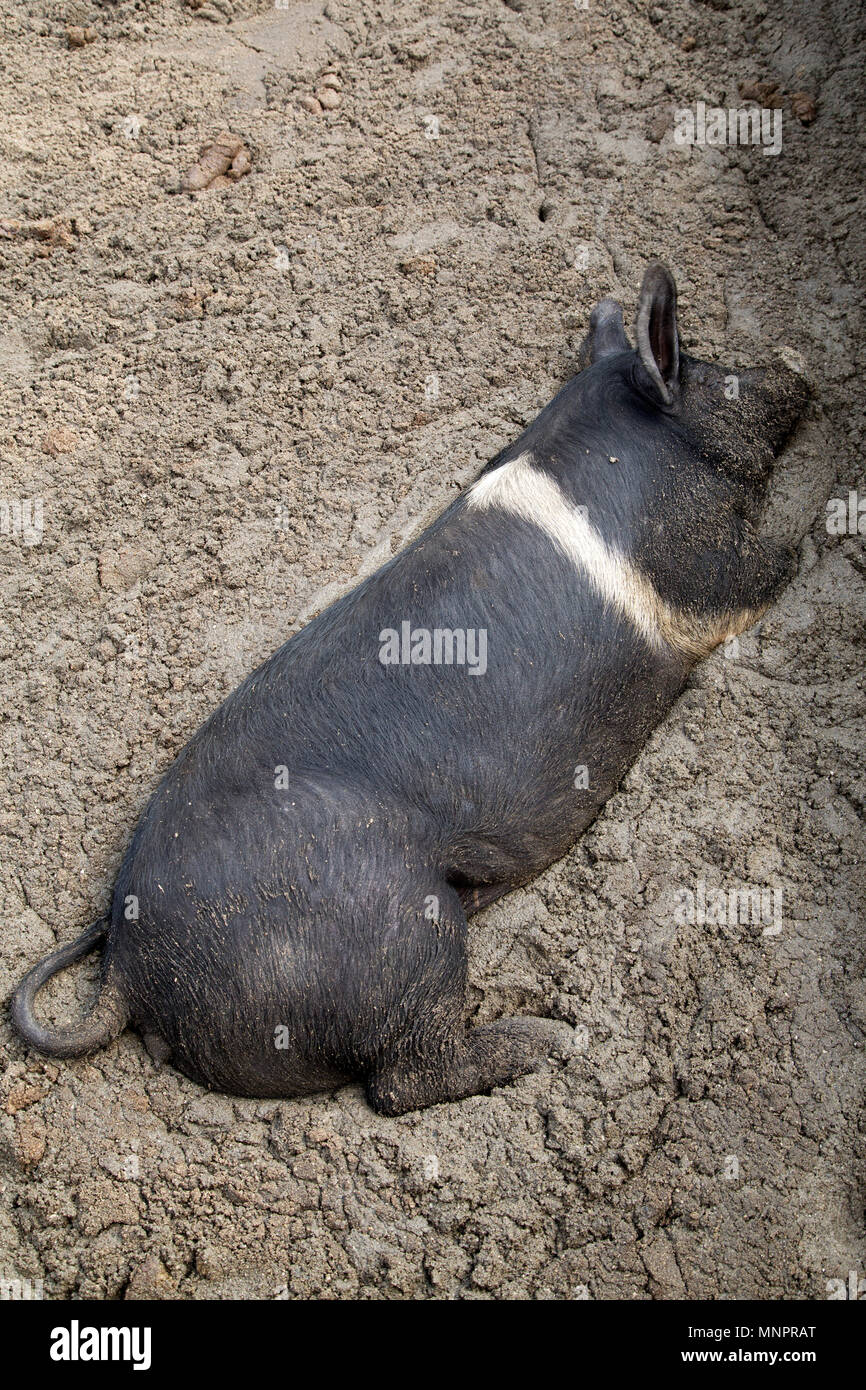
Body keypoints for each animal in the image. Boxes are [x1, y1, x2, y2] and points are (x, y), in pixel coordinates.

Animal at [10, 264, 808, 1115]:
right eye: (716, 374)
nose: (796, 371)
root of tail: (127, 970)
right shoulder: (704, 572)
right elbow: (770, 566)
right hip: (400, 925)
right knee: (404, 1078)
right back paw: (552, 1038)